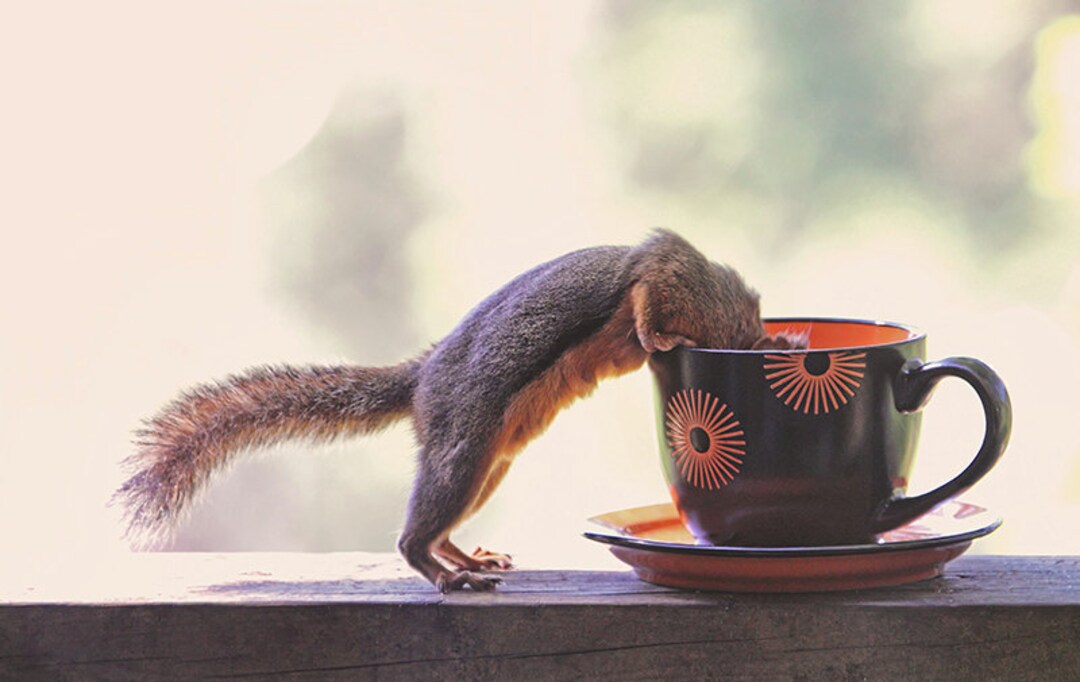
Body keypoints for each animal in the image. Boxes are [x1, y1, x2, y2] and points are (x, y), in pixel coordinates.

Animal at [115, 229, 802, 592]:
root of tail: (422, 381)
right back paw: (450, 577)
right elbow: (643, 303)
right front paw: (662, 338)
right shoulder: (663, 267)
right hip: (464, 448)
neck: (726, 317)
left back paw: (470, 560)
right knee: (414, 536)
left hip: (489, 467)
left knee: (441, 528)